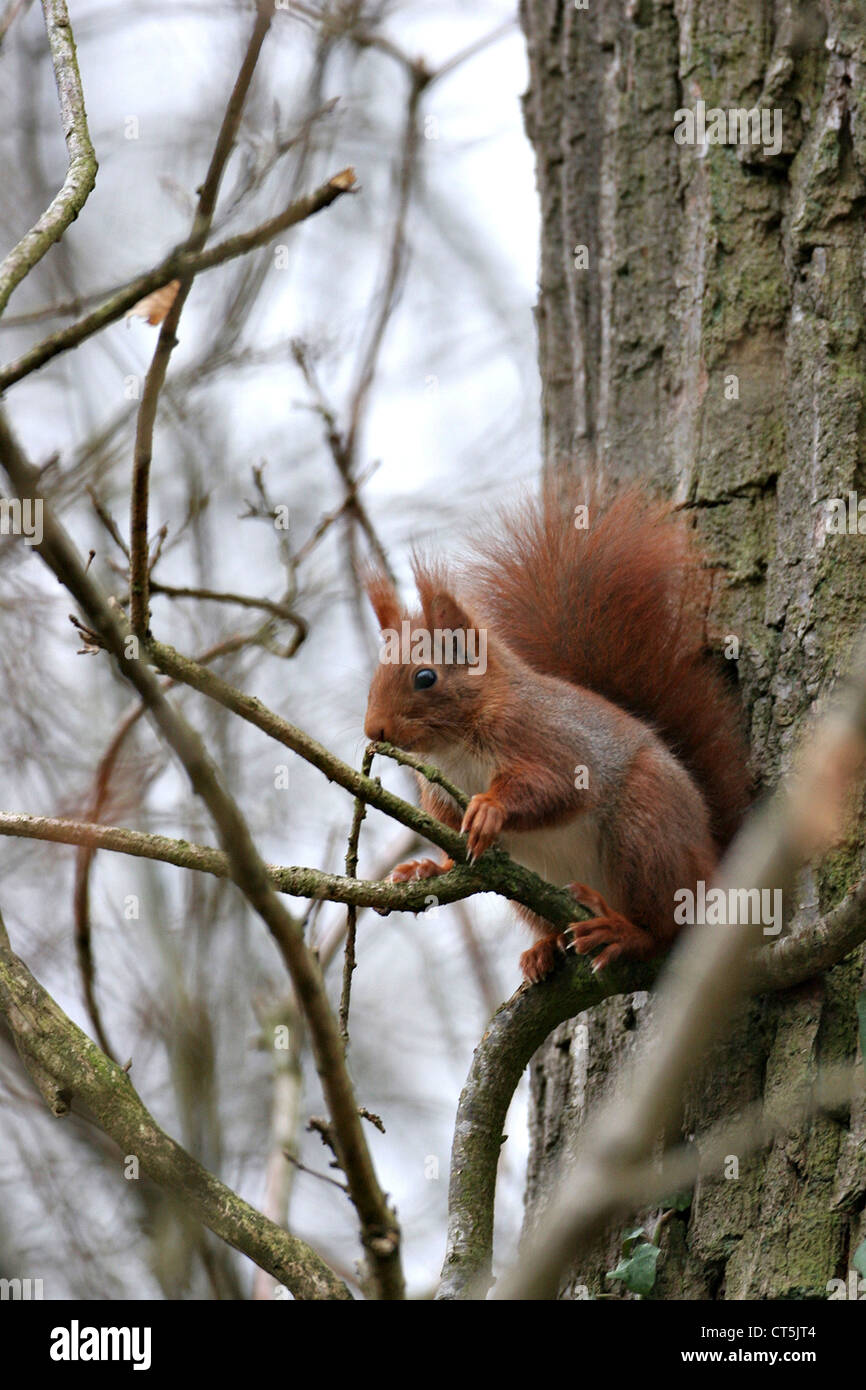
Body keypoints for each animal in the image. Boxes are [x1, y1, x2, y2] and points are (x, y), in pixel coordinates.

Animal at [363, 480, 751, 984]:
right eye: (375, 674)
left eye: (425, 677)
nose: (374, 728)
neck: (455, 749)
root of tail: (714, 858)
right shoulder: (439, 790)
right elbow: (452, 840)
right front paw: (427, 869)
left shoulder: (544, 737)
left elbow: (557, 786)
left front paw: (490, 808)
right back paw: (544, 948)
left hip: (648, 828)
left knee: (669, 926)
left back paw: (624, 932)